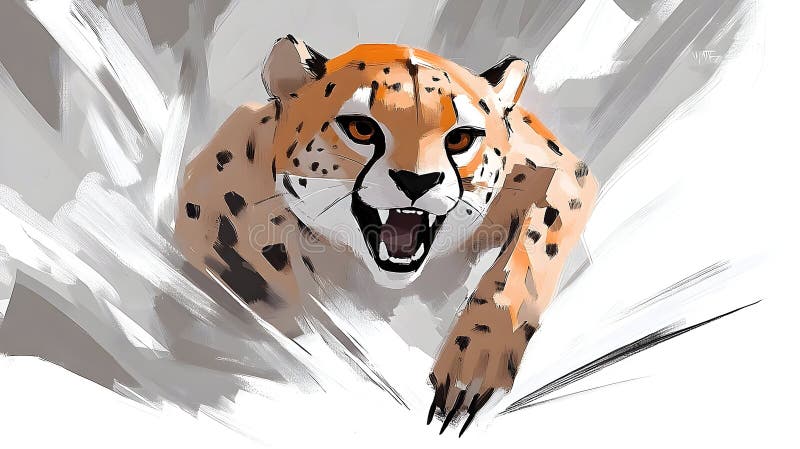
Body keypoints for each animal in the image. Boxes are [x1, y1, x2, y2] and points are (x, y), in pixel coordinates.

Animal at [175, 35, 598, 435]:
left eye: (460, 138)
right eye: (361, 128)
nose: (417, 181)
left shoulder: (562, 168)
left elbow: (532, 248)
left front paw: (476, 359)